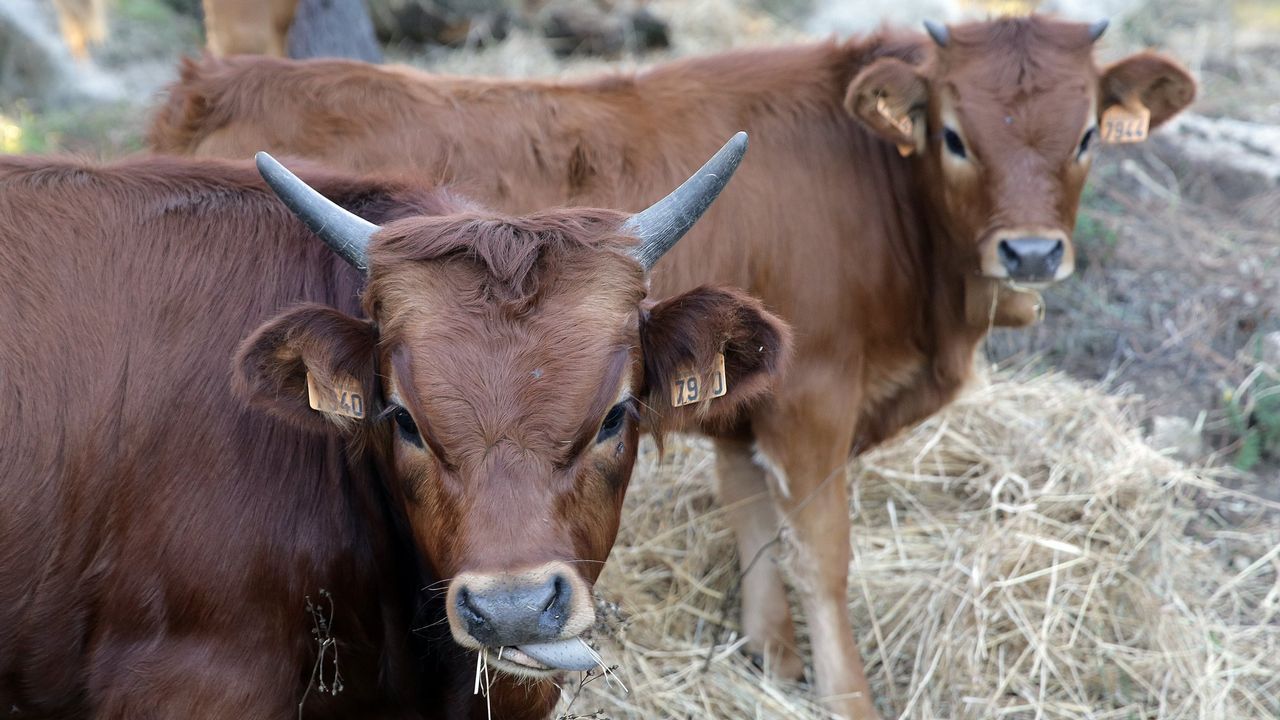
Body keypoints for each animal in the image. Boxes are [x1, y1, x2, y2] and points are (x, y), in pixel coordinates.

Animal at [146, 16, 1197, 718]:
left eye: (1087, 135)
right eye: (952, 135)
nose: (1032, 252)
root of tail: (220, 82)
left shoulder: (740, 398)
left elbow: (755, 529)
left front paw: (770, 661)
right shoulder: (813, 398)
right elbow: (823, 557)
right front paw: (844, 694)